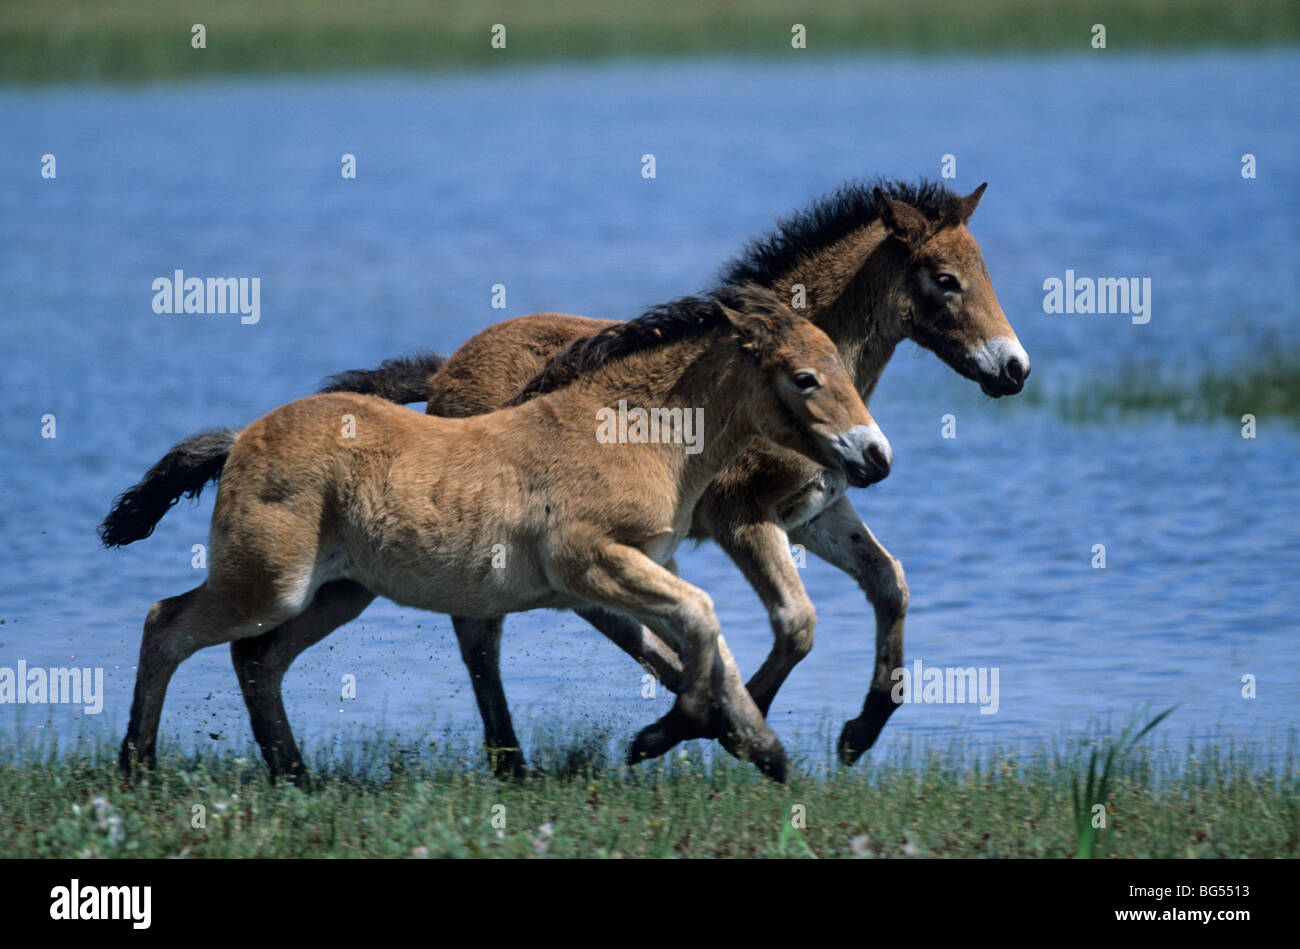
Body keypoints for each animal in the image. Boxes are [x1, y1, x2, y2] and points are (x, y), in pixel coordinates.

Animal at [102, 287, 892, 784]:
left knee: (258, 660)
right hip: (270, 584)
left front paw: (766, 753)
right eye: (805, 378)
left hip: (336, 594)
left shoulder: (642, 565)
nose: (874, 457)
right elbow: (701, 620)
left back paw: (294, 773)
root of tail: (241, 439)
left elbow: (709, 642)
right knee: (166, 624)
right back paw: (138, 766)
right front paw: (658, 738)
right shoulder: (592, 562)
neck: (630, 431)